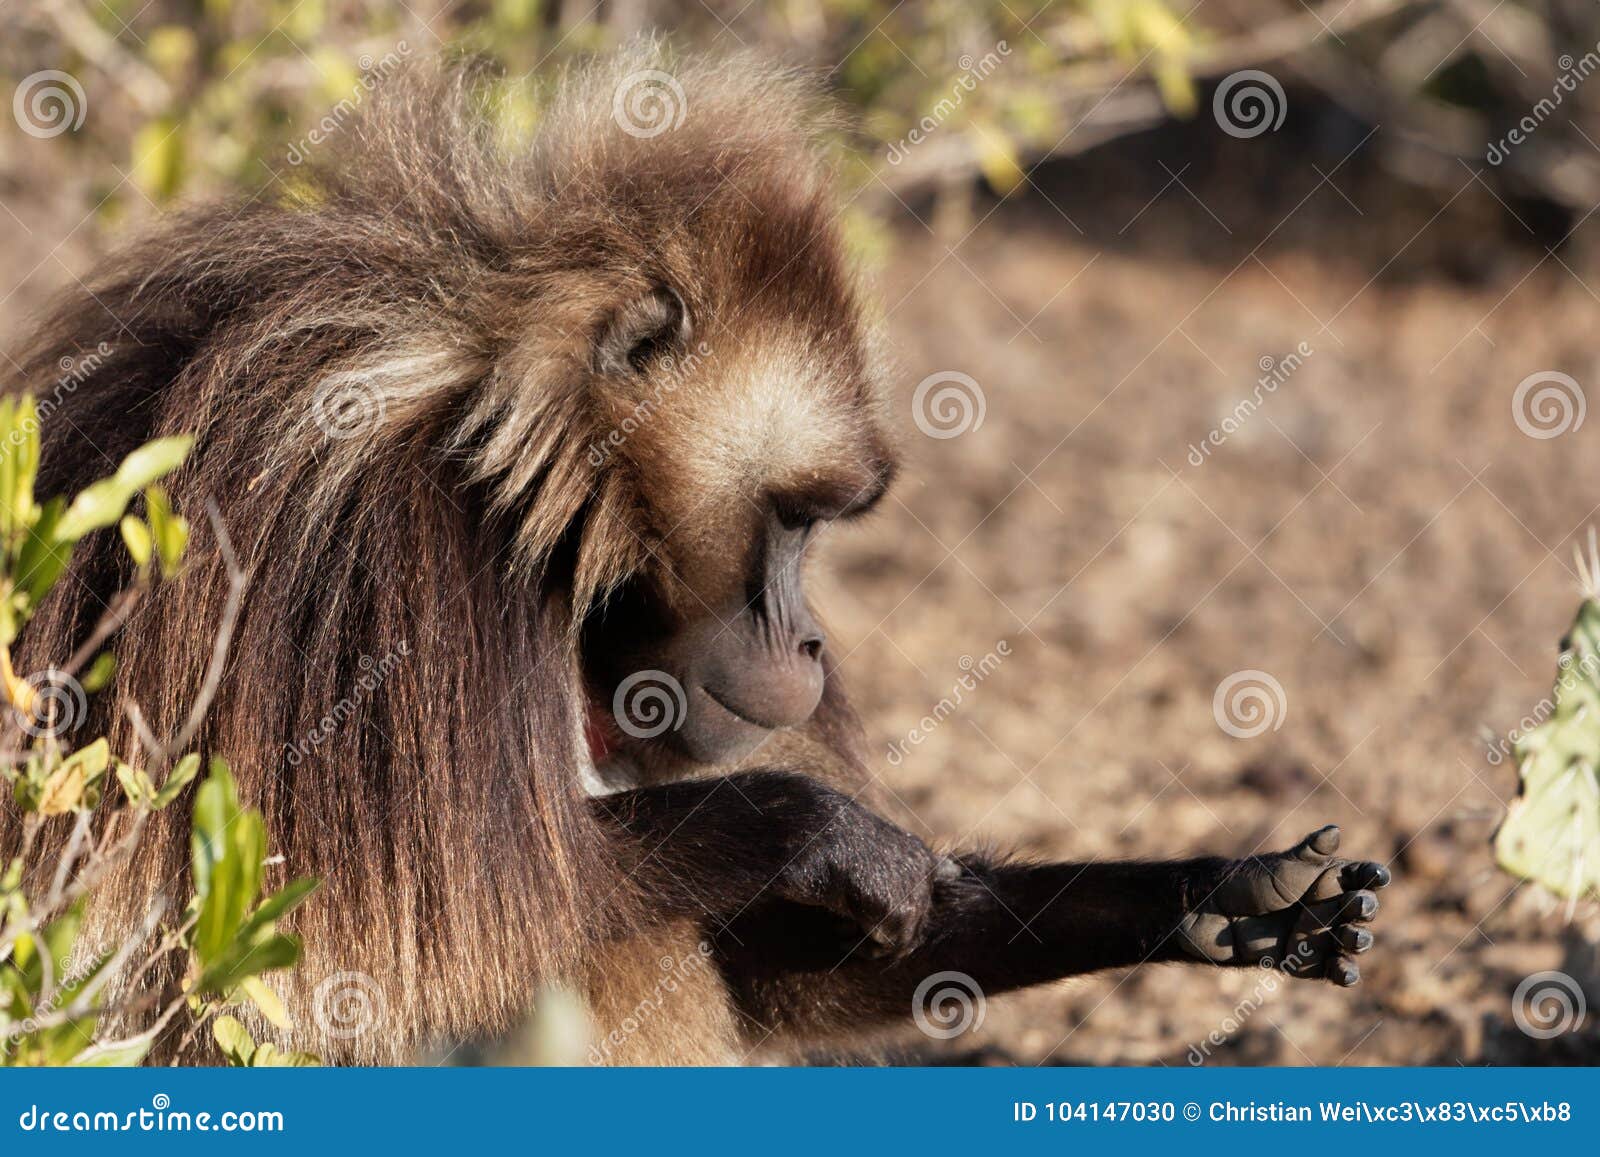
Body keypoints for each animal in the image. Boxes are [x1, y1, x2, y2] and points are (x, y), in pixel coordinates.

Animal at [0, 47, 1389, 1065]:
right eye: (796, 520)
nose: (814, 643)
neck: (510, 478)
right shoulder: (372, 557)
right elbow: (382, 941)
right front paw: (818, 827)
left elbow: (804, 971)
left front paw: (1213, 891)